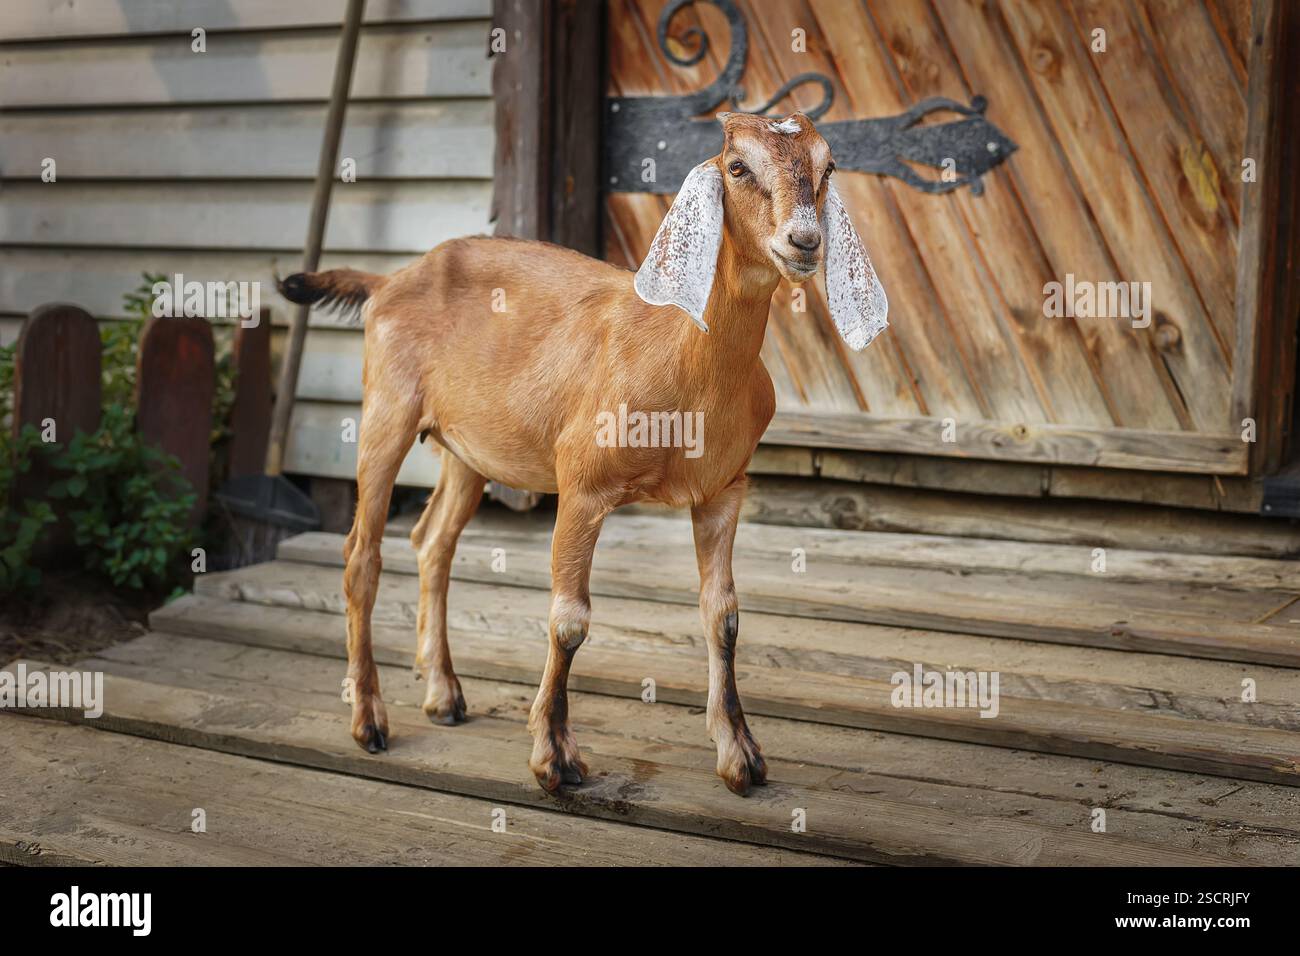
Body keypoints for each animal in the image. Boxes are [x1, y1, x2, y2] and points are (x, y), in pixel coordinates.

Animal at [278, 111, 887, 795]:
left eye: (828, 166)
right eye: (737, 166)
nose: (805, 240)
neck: (683, 360)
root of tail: (388, 279)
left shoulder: (724, 490)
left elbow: (724, 616)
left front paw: (740, 755)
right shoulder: (583, 486)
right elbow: (569, 619)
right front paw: (555, 756)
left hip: (468, 451)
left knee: (432, 543)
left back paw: (443, 694)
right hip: (387, 409)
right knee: (362, 555)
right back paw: (369, 720)